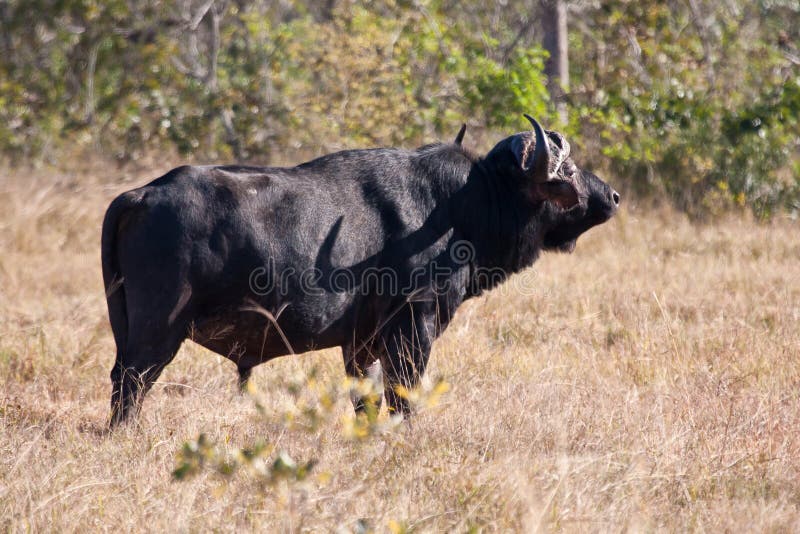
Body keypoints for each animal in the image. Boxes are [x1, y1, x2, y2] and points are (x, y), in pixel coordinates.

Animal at [101, 115, 619, 426]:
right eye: (569, 169)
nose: (611, 196)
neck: (458, 208)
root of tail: (143, 194)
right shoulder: (413, 326)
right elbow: (402, 395)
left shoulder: (360, 344)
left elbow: (366, 400)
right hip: (156, 334)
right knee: (130, 385)